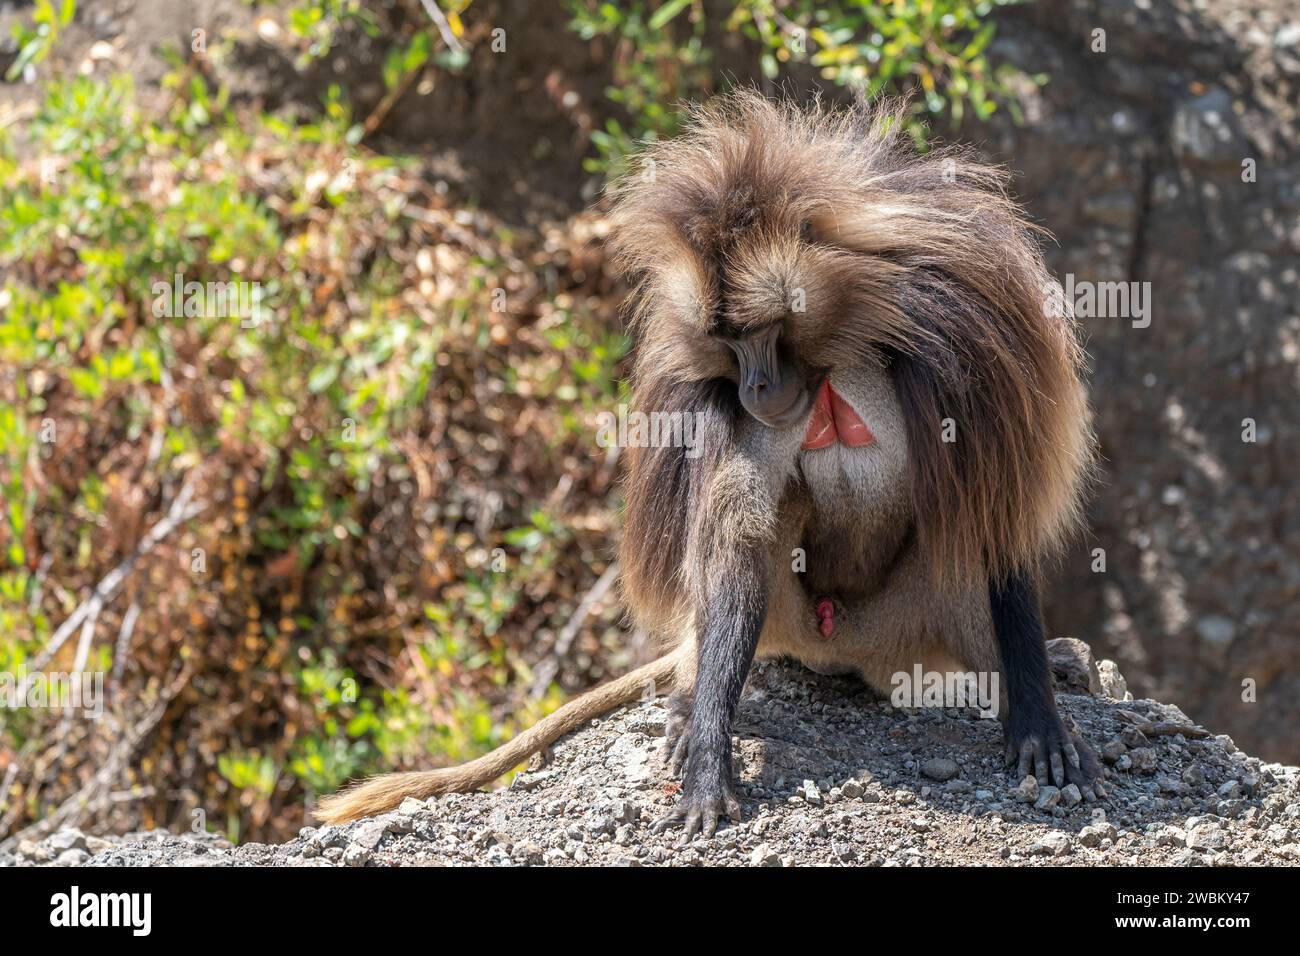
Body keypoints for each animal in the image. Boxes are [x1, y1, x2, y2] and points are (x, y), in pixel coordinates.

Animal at [315, 92, 1103, 834]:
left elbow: (995, 517)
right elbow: (737, 547)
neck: (840, 349)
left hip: (915, 624)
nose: (755, 389)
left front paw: (1040, 723)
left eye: (761, 330)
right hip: (790, 623)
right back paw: (689, 704)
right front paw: (705, 757)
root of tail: (846, 652)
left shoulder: (969, 354)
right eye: (726, 341)